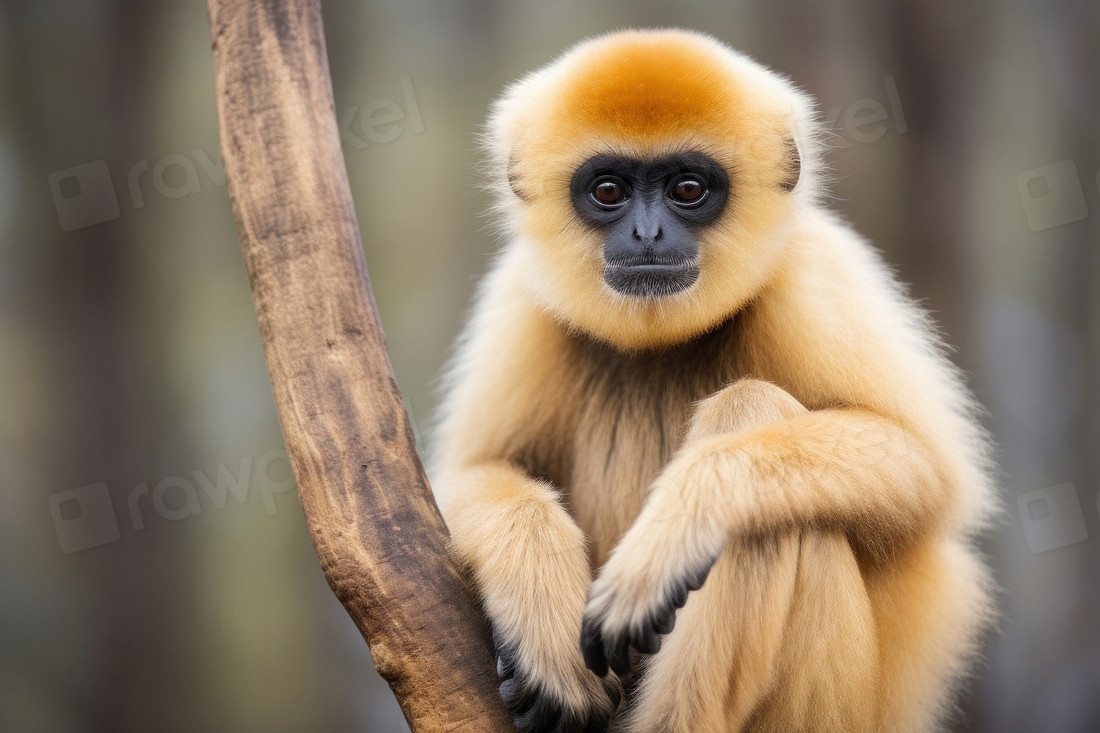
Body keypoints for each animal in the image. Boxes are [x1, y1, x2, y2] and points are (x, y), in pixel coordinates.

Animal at [429, 29, 995, 733]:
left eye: (689, 188)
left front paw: (681, 520)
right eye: (609, 191)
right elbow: (463, 474)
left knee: (771, 474)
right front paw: (541, 619)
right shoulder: (521, 300)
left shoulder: (811, 275)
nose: (647, 233)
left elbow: (928, 475)